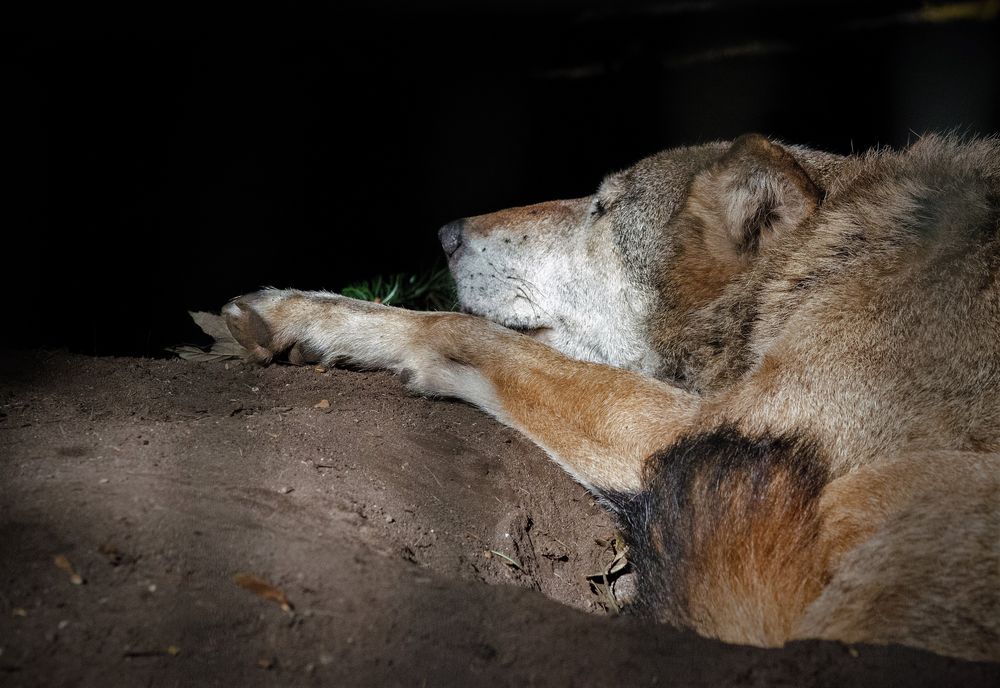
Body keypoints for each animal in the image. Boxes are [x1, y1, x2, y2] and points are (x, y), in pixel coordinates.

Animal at [220, 134, 999, 662]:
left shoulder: (698, 428)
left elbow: (460, 330)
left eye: (600, 208)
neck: (828, 264)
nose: (445, 234)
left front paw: (305, 313)